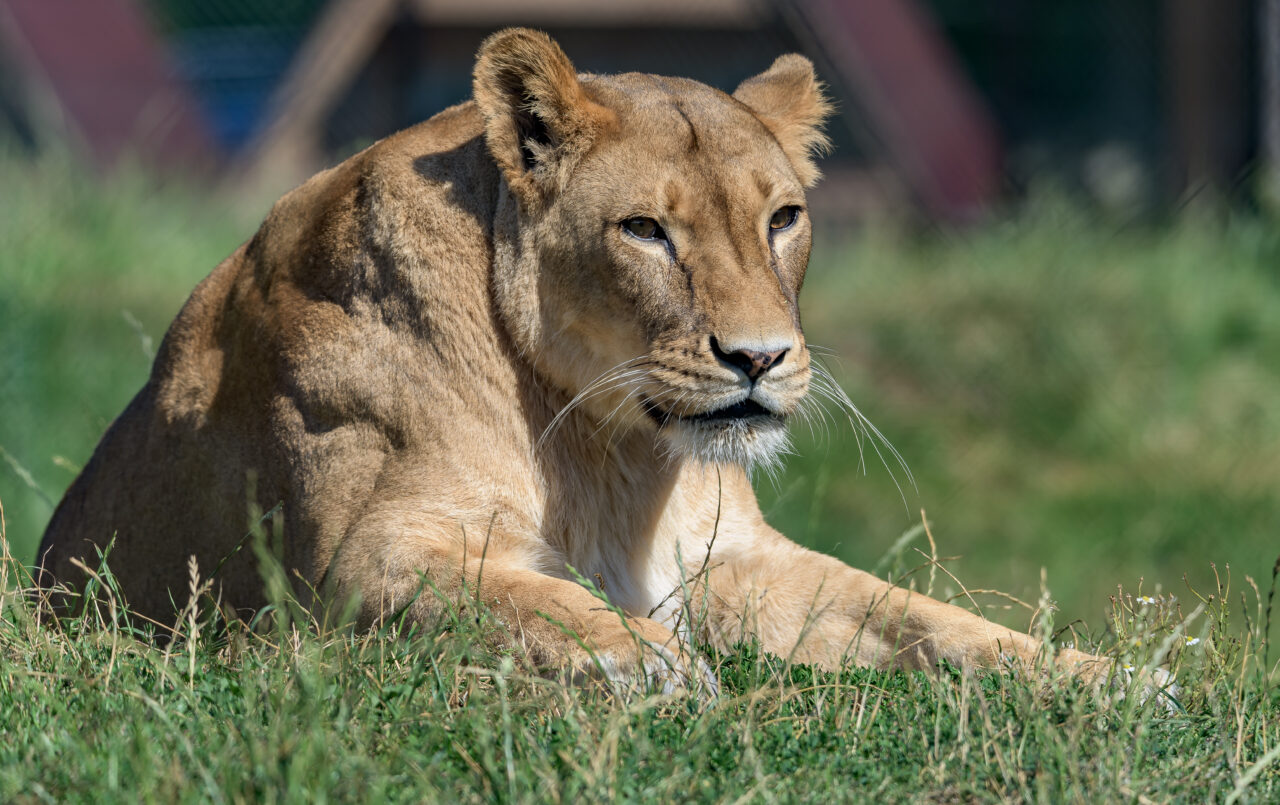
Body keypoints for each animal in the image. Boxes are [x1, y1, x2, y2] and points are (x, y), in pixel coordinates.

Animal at [37, 28, 1112, 691]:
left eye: (783, 218)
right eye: (645, 231)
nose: (761, 357)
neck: (611, 448)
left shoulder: (731, 557)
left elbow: (921, 616)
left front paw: (1103, 678)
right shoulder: (354, 565)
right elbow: (532, 601)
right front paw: (656, 664)